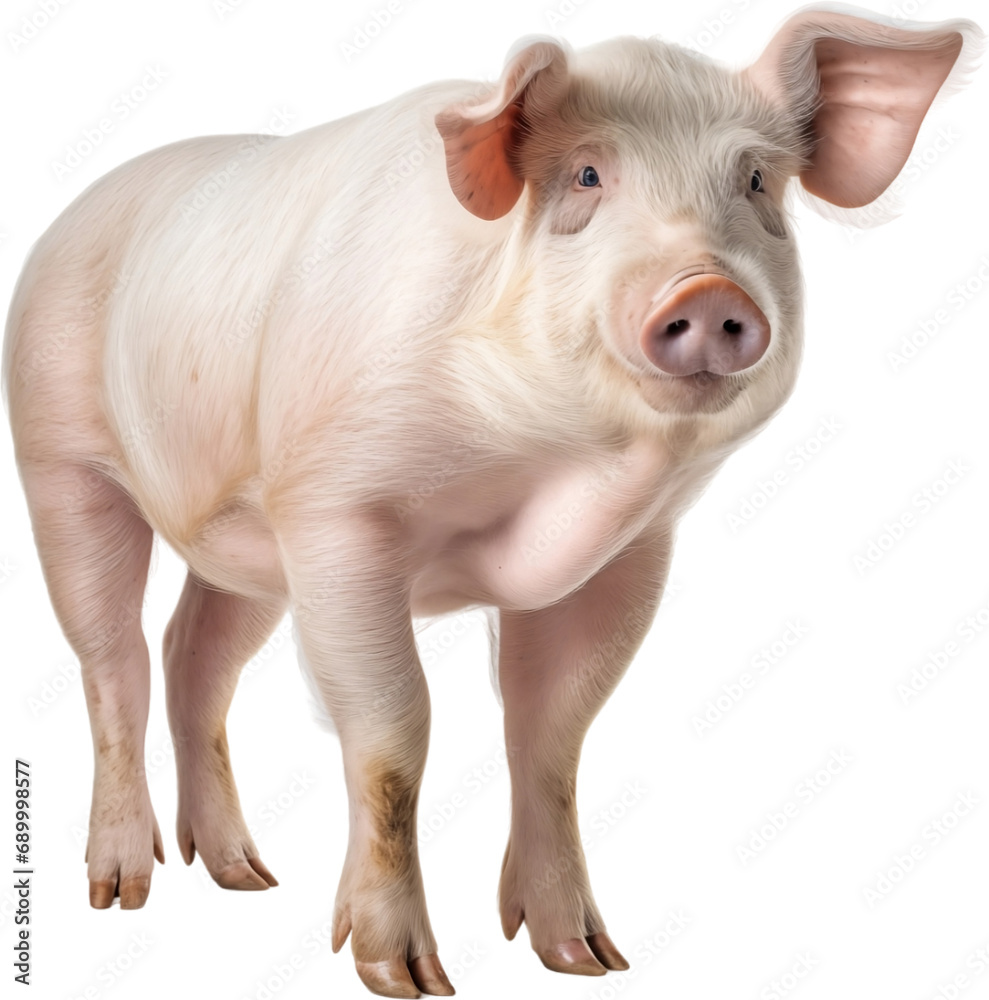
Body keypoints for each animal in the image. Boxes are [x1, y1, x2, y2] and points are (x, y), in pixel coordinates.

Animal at [3, 4, 980, 997]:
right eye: (586, 174)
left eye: (753, 181)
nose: (707, 289)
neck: (558, 471)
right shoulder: (335, 509)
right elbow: (394, 732)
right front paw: (409, 978)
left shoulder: (631, 550)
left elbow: (555, 729)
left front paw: (588, 959)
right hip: (56, 457)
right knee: (112, 656)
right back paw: (120, 892)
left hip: (245, 546)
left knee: (194, 652)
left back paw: (246, 876)